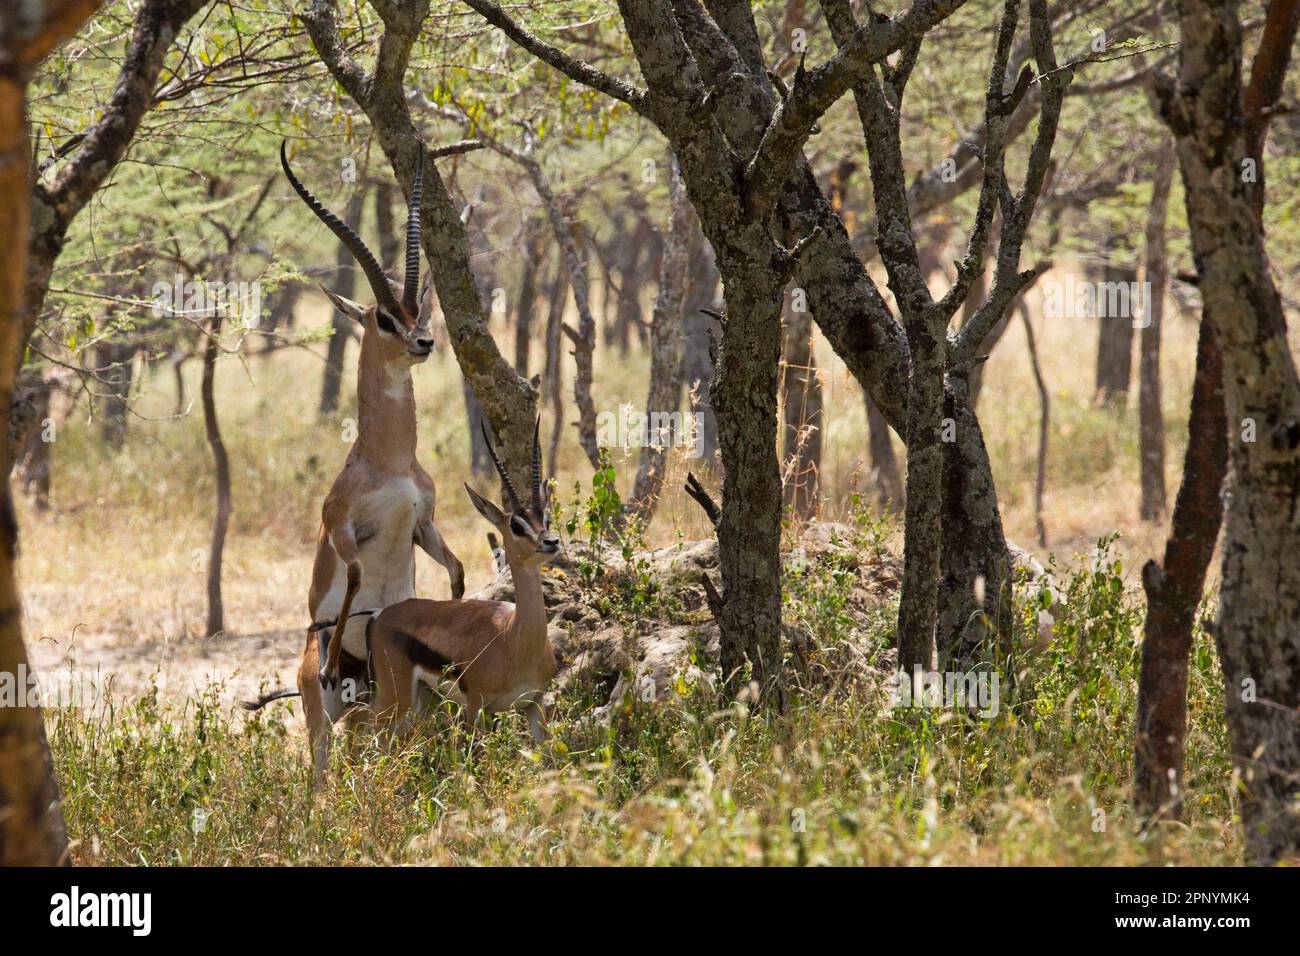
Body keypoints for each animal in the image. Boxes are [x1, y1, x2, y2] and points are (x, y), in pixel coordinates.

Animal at [248, 142, 466, 782]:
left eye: (418, 309)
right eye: (383, 318)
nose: (424, 342)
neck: (389, 462)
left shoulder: (423, 524)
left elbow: (457, 570)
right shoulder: (342, 526)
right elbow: (352, 577)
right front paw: (331, 656)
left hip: (381, 715)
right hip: (320, 724)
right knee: (319, 778)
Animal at [364, 420, 560, 742]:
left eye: (545, 519)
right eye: (516, 526)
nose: (552, 542)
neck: (513, 638)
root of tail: (381, 615)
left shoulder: (534, 702)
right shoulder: (476, 706)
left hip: (420, 700)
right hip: (395, 700)